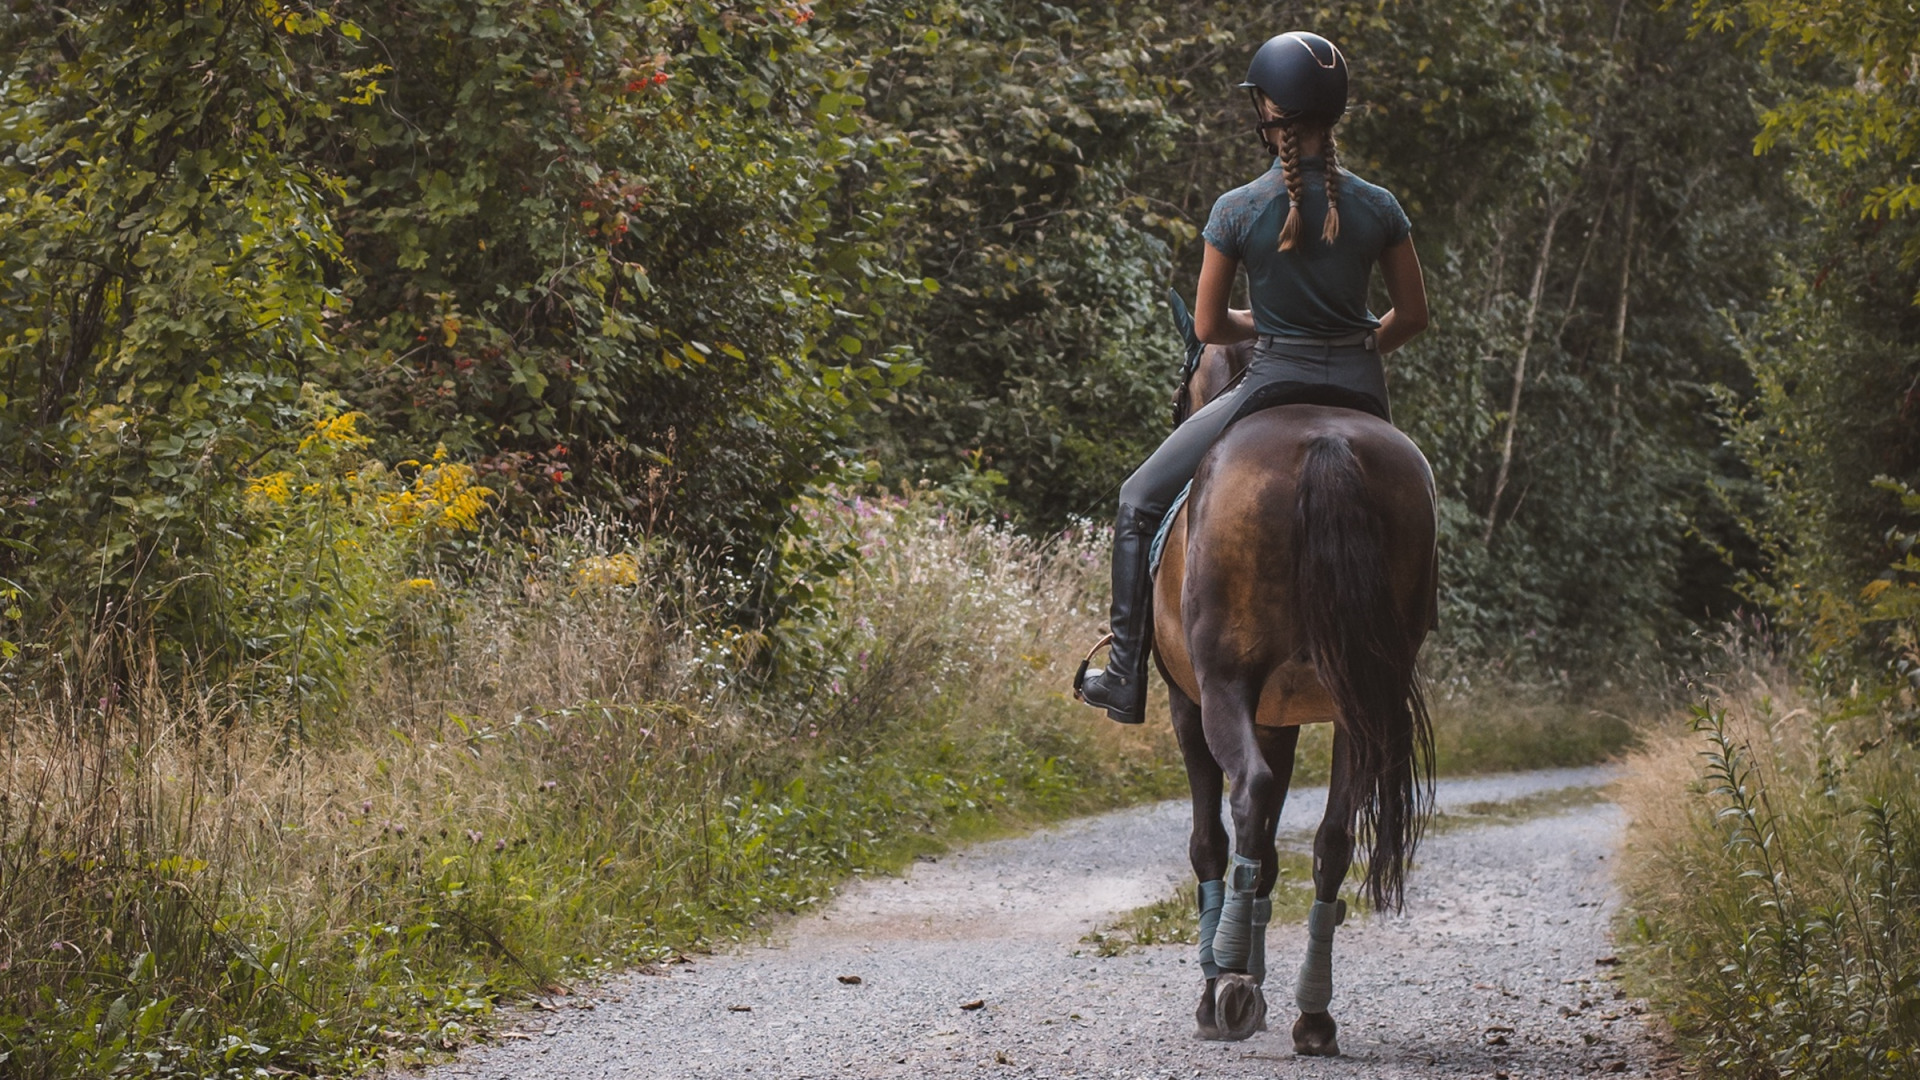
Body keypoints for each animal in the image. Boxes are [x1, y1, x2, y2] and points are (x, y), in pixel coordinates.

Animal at [1151, 297, 1438, 1051]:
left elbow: (1212, 840)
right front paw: (1253, 975)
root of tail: (1327, 445)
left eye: (1181, 387)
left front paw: (1226, 979)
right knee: (1333, 839)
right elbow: (1273, 853)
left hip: (1222, 688)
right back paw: (1312, 1013)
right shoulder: (1278, 719)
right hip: (1362, 702)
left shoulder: (1190, 704)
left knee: (1247, 797)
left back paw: (1225, 986)